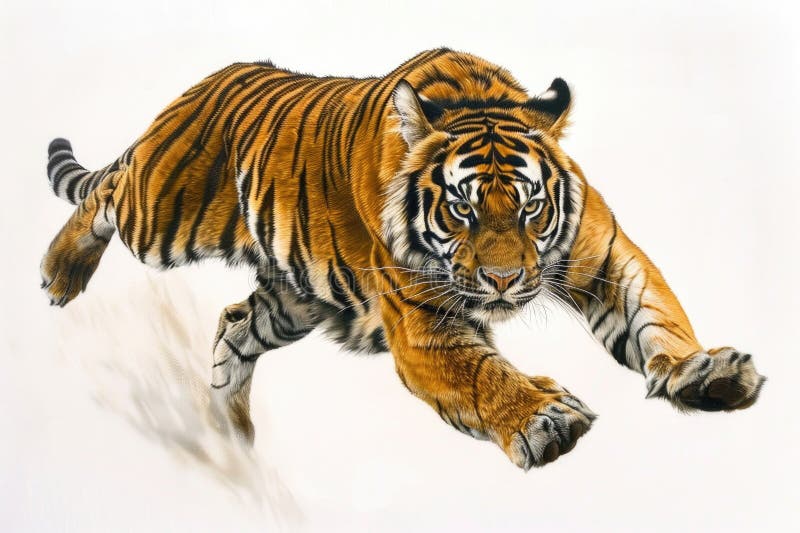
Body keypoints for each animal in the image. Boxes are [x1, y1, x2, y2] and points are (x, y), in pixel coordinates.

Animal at [41, 48, 765, 470]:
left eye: (531, 206)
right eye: (462, 210)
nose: (504, 281)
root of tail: (211, 80)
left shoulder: (604, 254)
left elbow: (654, 317)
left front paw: (705, 371)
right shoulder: (423, 322)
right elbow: (482, 373)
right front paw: (542, 415)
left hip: (297, 297)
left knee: (233, 325)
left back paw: (232, 434)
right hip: (161, 211)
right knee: (107, 190)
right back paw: (60, 273)